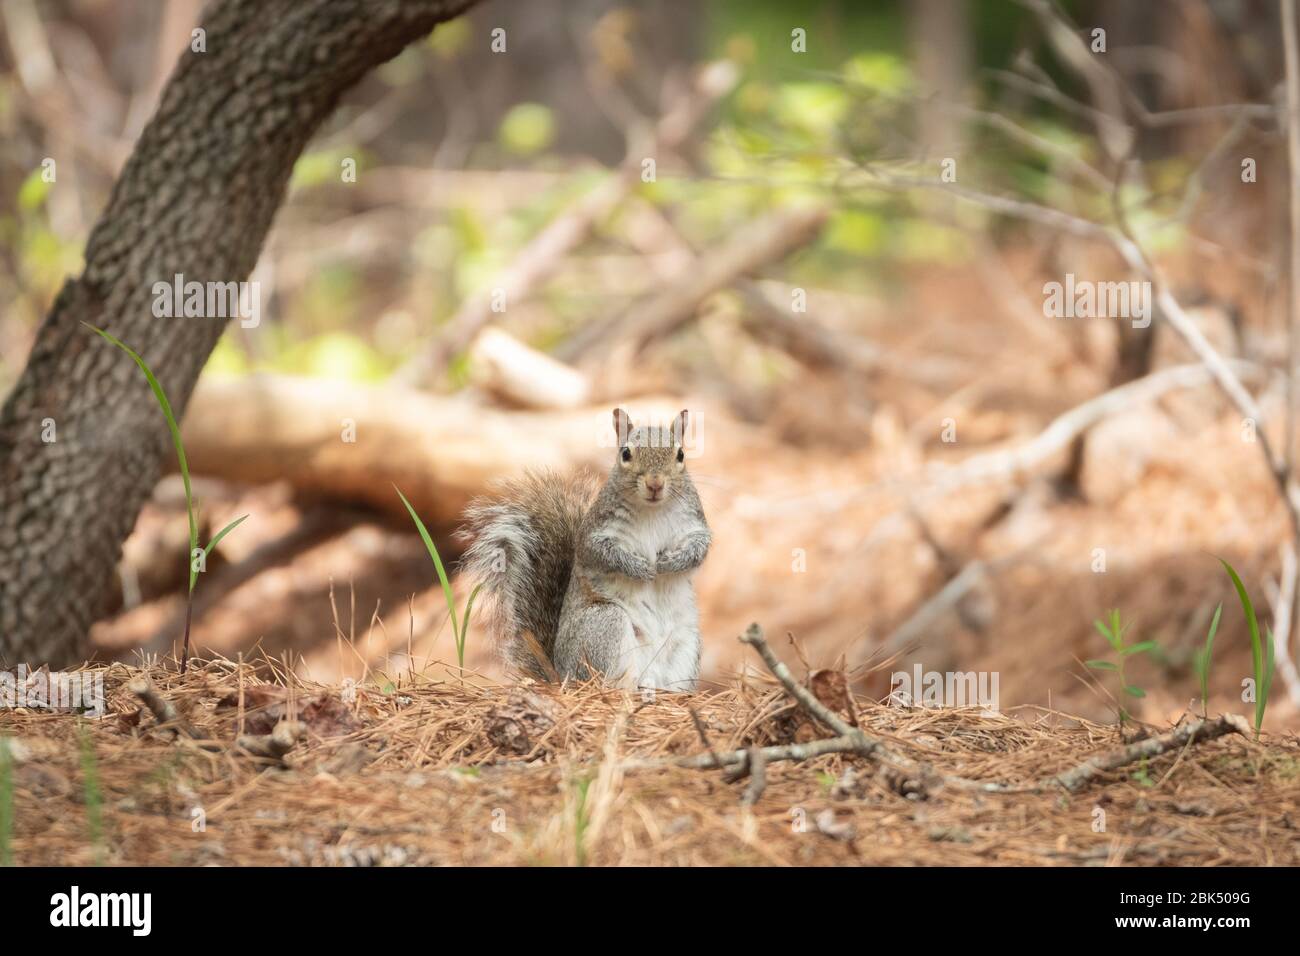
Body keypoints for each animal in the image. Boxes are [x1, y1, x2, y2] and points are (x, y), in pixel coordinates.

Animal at [459, 407, 710, 691]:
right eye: (625, 453)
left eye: (680, 455)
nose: (655, 484)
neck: (652, 509)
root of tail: (560, 675)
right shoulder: (593, 533)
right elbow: (602, 553)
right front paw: (639, 568)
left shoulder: (693, 524)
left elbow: (700, 548)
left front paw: (671, 563)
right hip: (604, 624)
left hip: (686, 645)